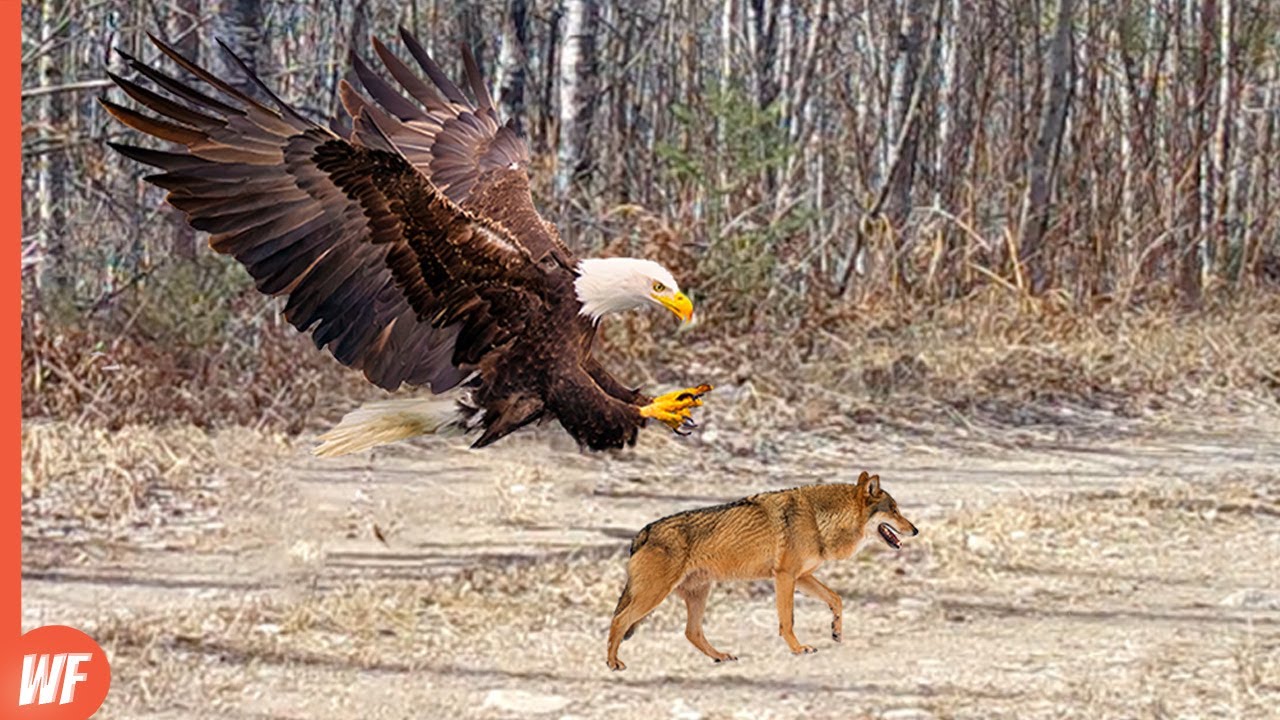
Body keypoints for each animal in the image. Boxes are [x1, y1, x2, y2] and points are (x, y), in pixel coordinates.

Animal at [606, 471, 918, 670]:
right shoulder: (785, 577)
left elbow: (836, 599)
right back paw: (612, 663)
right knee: (619, 620)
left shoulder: (801, 577)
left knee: (690, 632)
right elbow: (787, 620)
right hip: (654, 596)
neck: (819, 519)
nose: (915, 529)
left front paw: (836, 631)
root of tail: (643, 532)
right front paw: (798, 649)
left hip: (697, 594)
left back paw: (720, 656)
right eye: (894, 510)